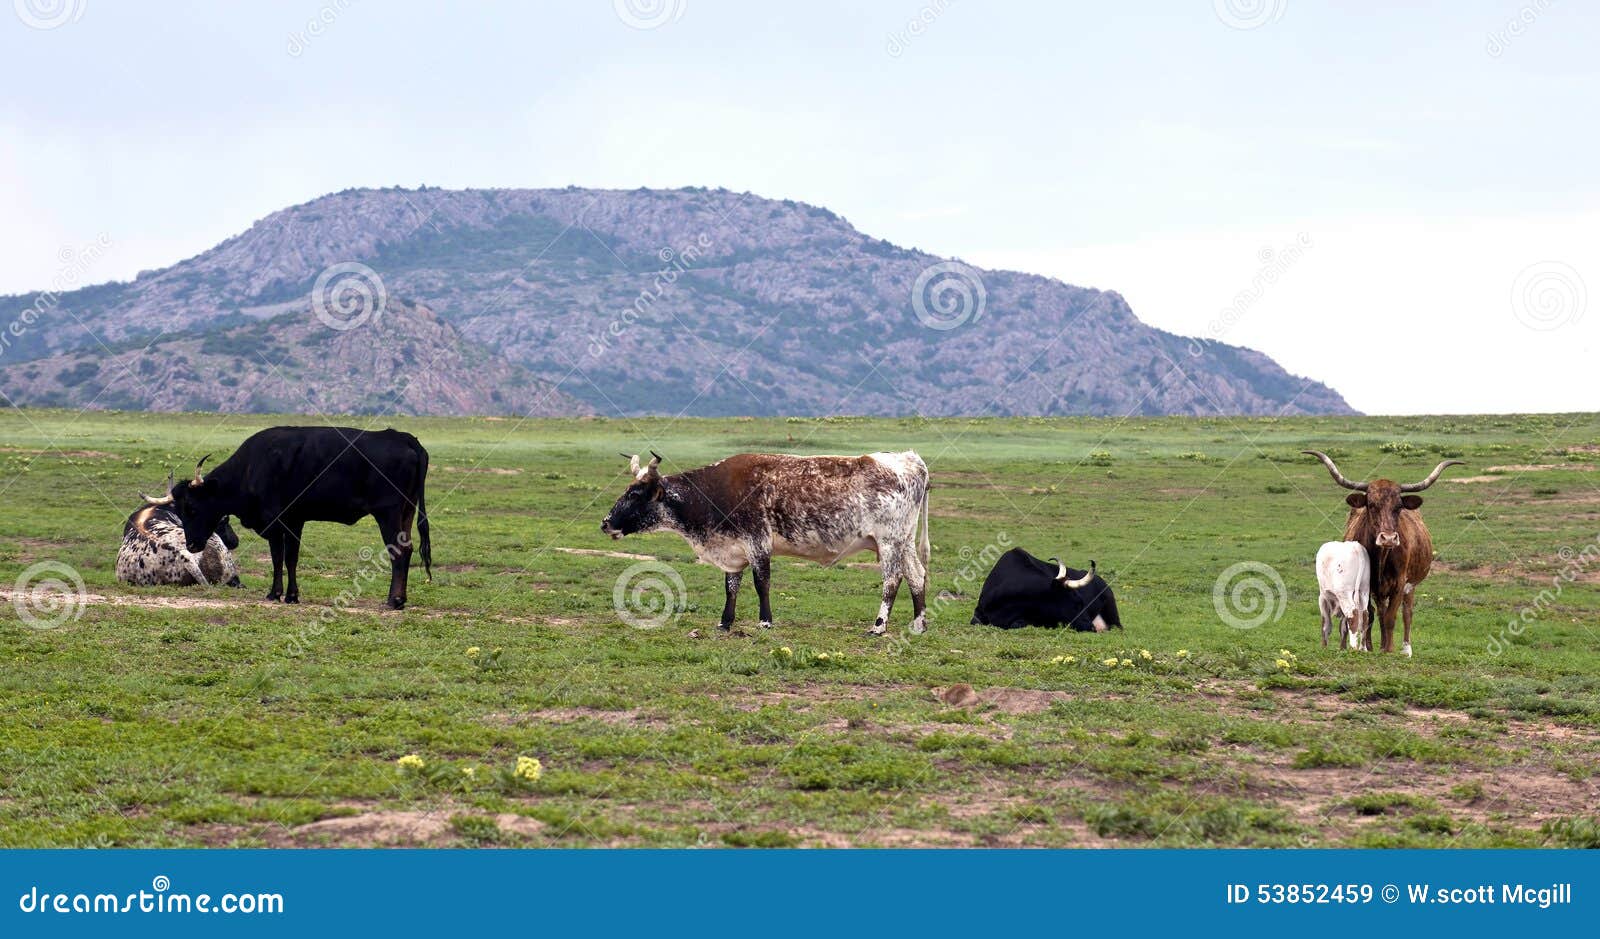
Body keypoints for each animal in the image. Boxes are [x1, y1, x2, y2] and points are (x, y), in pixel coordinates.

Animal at [166, 426, 432, 609]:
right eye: (179, 510)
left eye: (192, 507)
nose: (192, 544)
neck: (252, 467)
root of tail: (401, 437)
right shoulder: (295, 521)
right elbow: (290, 558)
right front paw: (291, 595)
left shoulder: (277, 523)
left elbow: (279, 558)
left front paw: (276, 594)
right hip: (407, 511)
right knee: (407, 549)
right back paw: (400, 598)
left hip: (388, 513)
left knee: (398, 550)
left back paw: (394, 600)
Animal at [600, 450, 930, 634]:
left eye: (635, 494)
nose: (605, 523)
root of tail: (908, 459)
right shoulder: (733, 550)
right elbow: (731, 587)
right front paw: (725, 623)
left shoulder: (757, 542)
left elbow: (762, 583)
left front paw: (765, 622)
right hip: (904, 542)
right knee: (916, 576)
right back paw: (918, 624)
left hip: (889, 541)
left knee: (892, 580)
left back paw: (878, 626)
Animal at [1303, 450, 1464, 657]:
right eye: (1371, 505)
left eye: (1398, 506)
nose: (1388, 538)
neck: (1382, 557)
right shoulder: (1369, 586)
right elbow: (1372, 615)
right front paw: (1371, 647)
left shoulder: (1400, 584)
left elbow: (1391, 617)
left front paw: (1389, 649)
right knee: (1377, 612)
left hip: (1410, 586)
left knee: (1406, 613)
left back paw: (1405, 649)